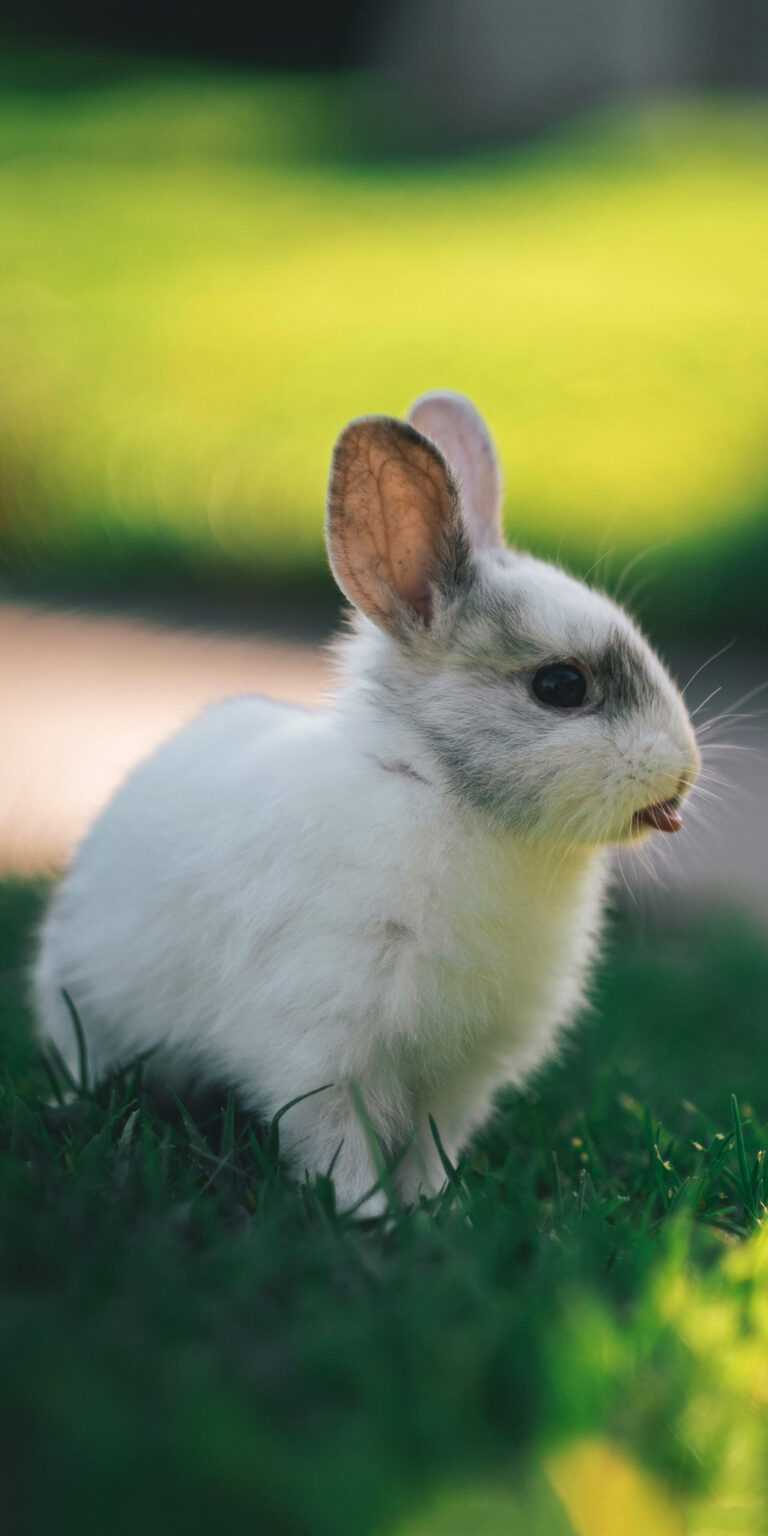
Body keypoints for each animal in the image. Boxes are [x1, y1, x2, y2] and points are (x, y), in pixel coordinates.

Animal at [33, 392, 700, 1214]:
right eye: (561, 686)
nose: (682, 776)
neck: (441, 791)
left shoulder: (455, 1076)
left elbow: (430, 1145)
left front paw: (432, 1209)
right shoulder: (327, 1049)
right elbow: (339, 1143)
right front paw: (363, 1215)